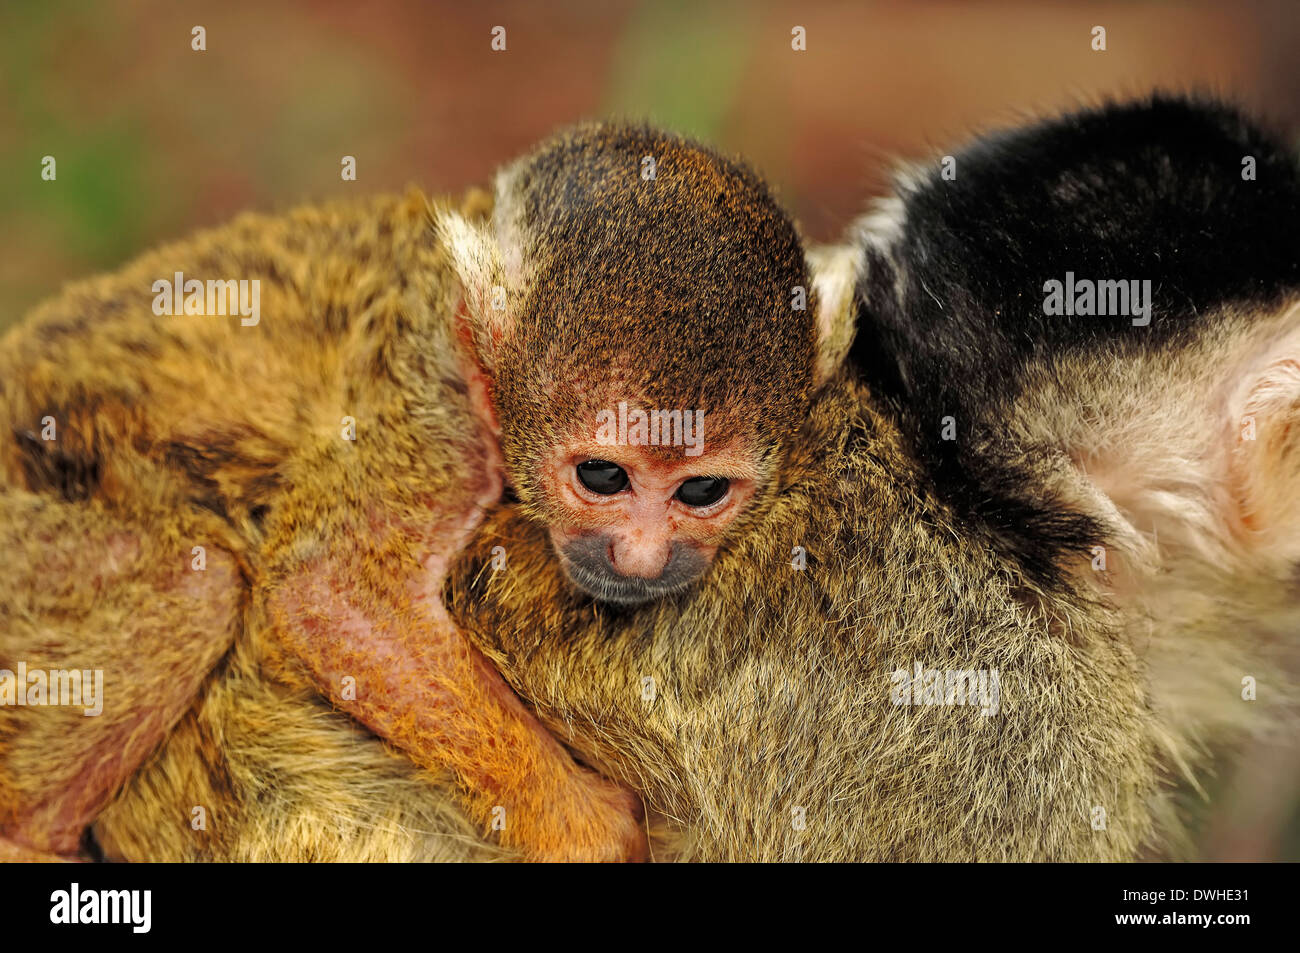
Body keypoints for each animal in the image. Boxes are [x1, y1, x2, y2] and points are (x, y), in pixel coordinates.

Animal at [0, 121, 828, 862]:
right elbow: (328, 590)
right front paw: (581, 825)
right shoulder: (439, 401)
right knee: (190, 586)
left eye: (702, 489)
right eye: (602, 476)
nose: (642, 556)